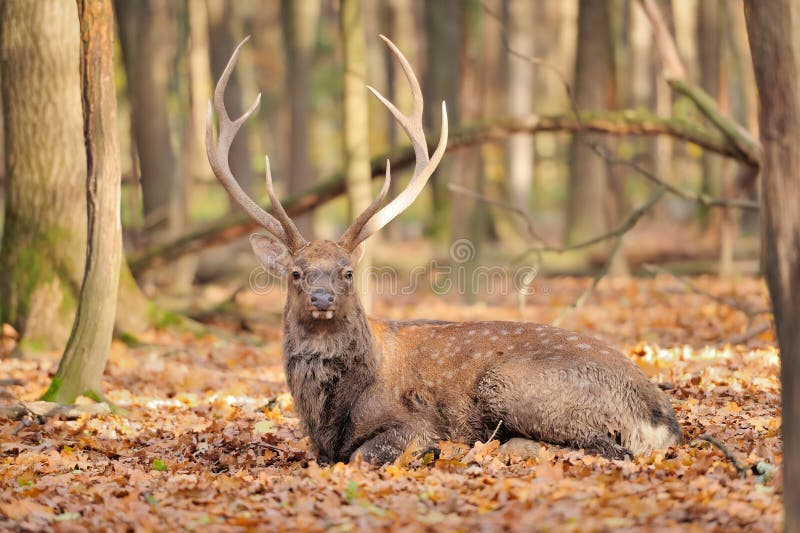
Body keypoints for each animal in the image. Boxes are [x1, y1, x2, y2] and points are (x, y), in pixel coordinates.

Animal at [206, 35, 682, 465]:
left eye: (347, 271)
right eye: (296, 272)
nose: (322, 298)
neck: (327, 419)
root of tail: (662, 418)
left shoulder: (413, 424)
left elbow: (363, 455)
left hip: (514, 384)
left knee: (610, 449)